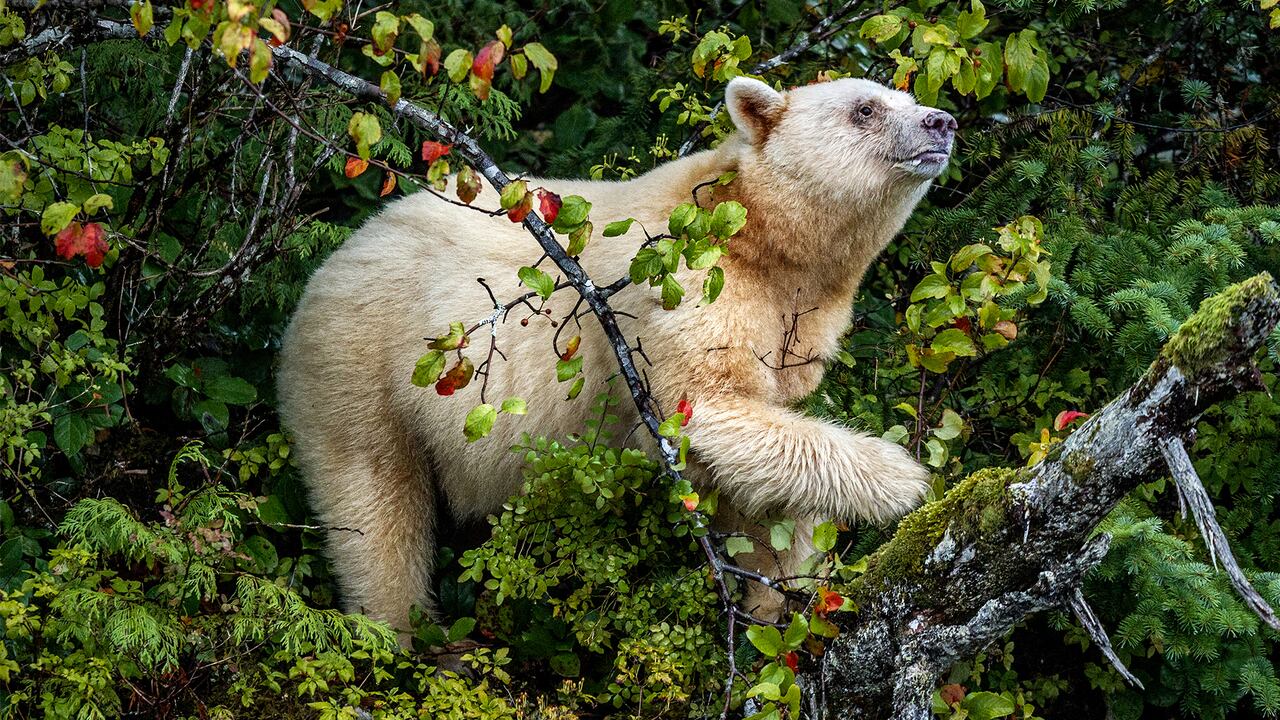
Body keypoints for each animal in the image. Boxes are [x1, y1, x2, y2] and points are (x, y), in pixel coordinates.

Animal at [276, 76, 955, 634]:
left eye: (905, 96)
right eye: (866, 108)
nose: (942, 122)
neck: (761, 238)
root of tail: (332, 263)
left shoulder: (798, 321)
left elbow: (761, 472)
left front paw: (777, 597)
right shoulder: (684, 287)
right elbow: (708, 407)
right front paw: (904, 479)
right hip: (363, 363)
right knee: (376, 510)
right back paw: (404, 634)